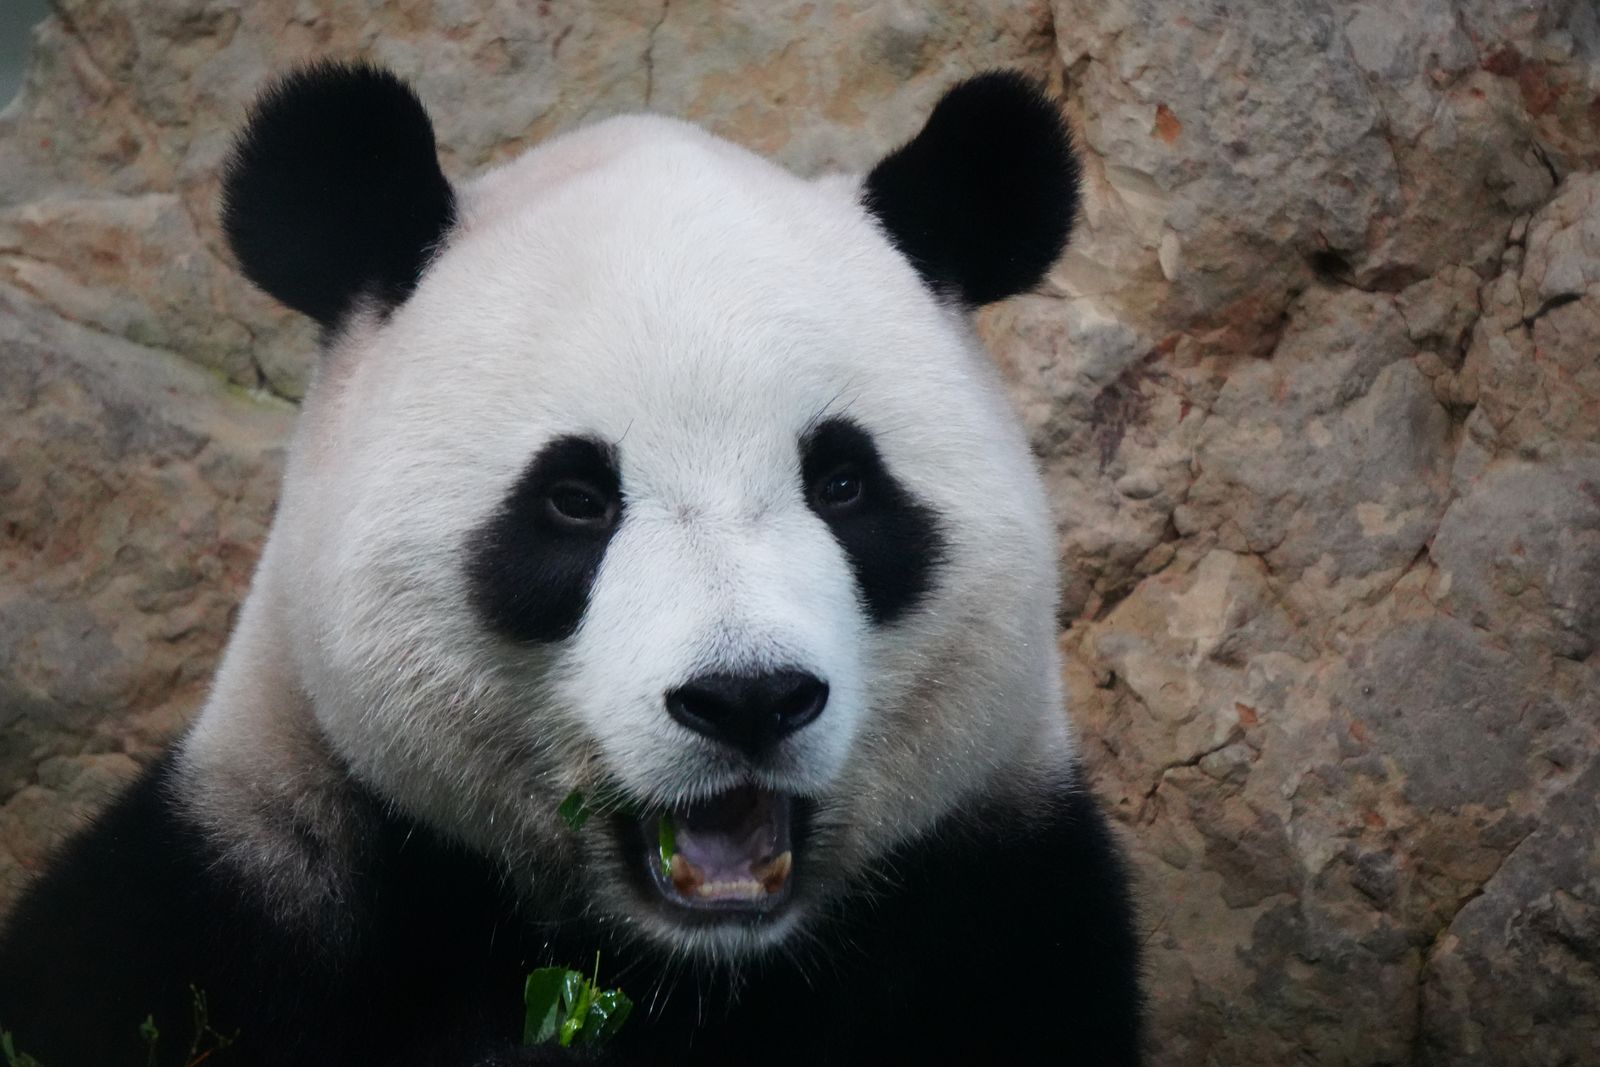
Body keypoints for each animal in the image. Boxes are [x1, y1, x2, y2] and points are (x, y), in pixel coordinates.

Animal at [0, 63, 1141, 1065]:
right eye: (576, 499)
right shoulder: (239, 903)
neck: (686, 969)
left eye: (843, 483)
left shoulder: (998, 917)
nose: (749, 697)